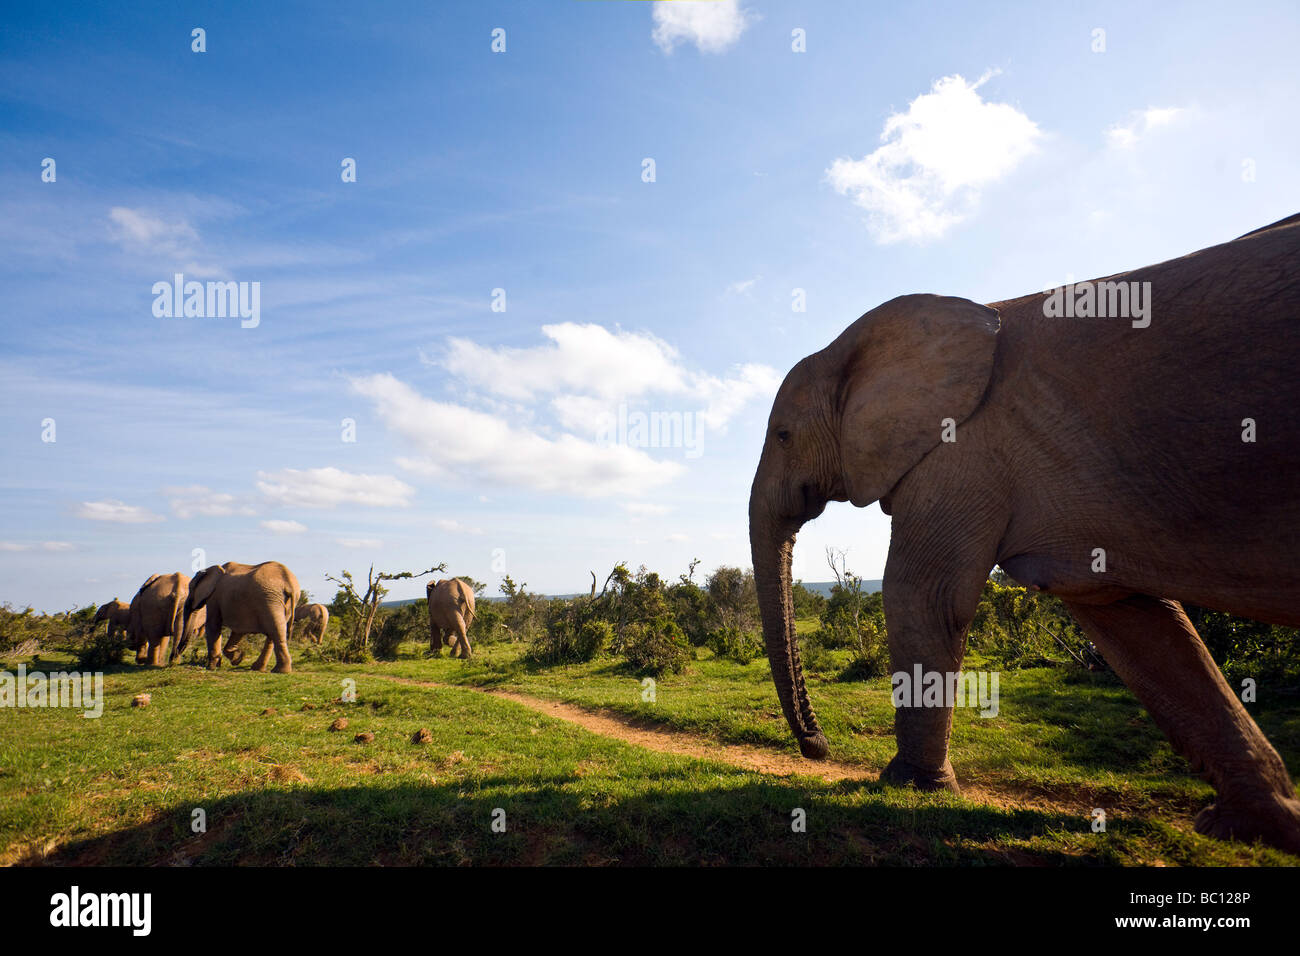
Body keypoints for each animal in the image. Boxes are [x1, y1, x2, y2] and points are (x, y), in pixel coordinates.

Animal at [748, 213, 1300, 853]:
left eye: (783, 435)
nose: (817, 747)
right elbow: (1133, 621)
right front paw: (1254, 827)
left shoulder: (963, 451)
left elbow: (922, 595)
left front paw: (908, 786)